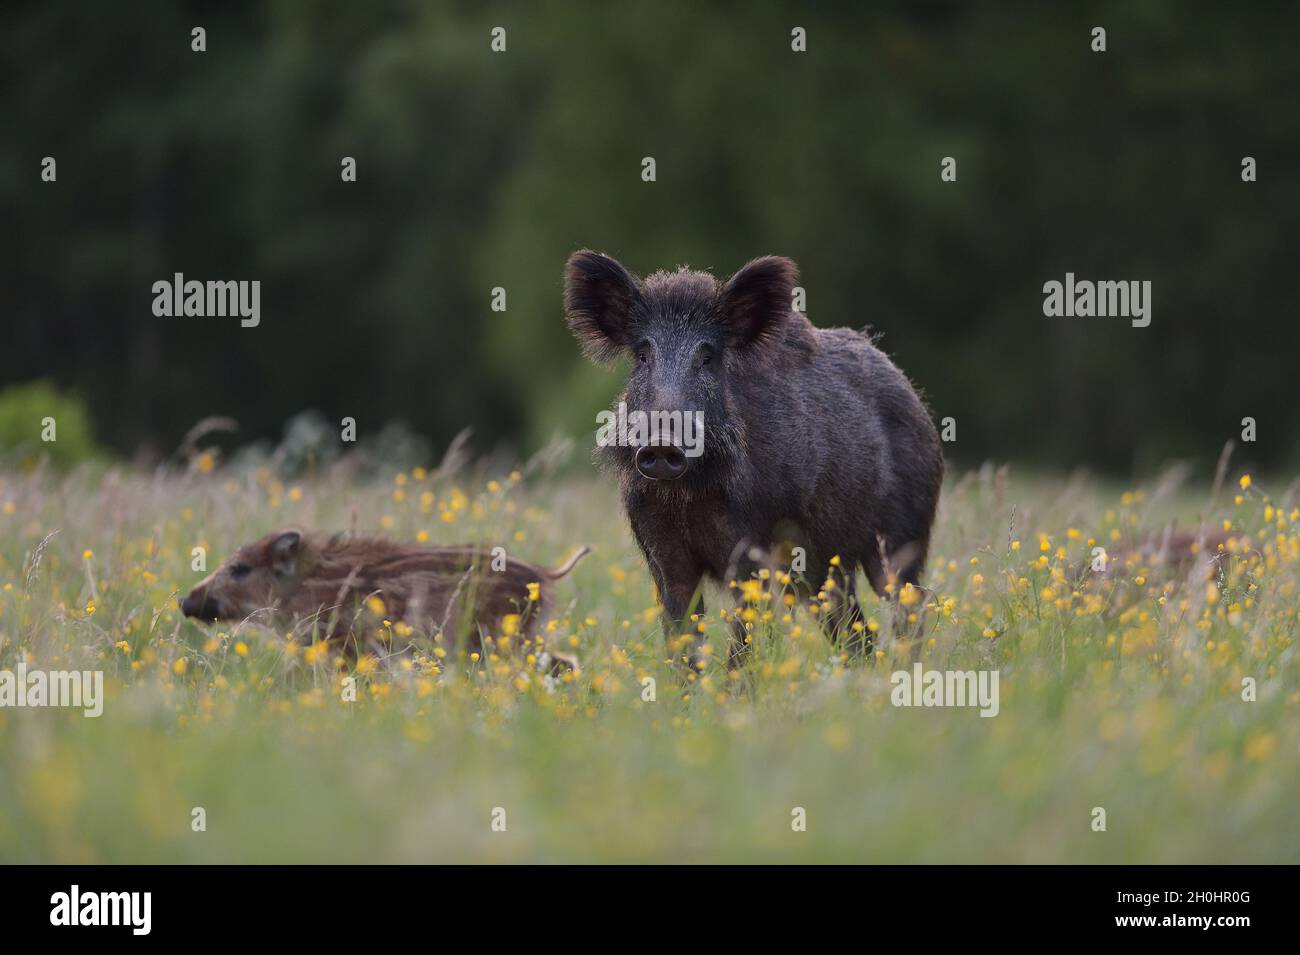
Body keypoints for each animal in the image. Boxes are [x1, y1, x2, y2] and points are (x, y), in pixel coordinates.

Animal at [564, 250, 943, 668]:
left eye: (707, 357)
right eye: (643, 355)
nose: (663, 444)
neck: (687, 495)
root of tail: (911, 391)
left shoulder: (751, 550)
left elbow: (744, 639)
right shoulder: (663, 554)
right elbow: (681, 641)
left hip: (904, 532)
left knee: (909, 604)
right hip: (822, 569)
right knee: (853, 628)